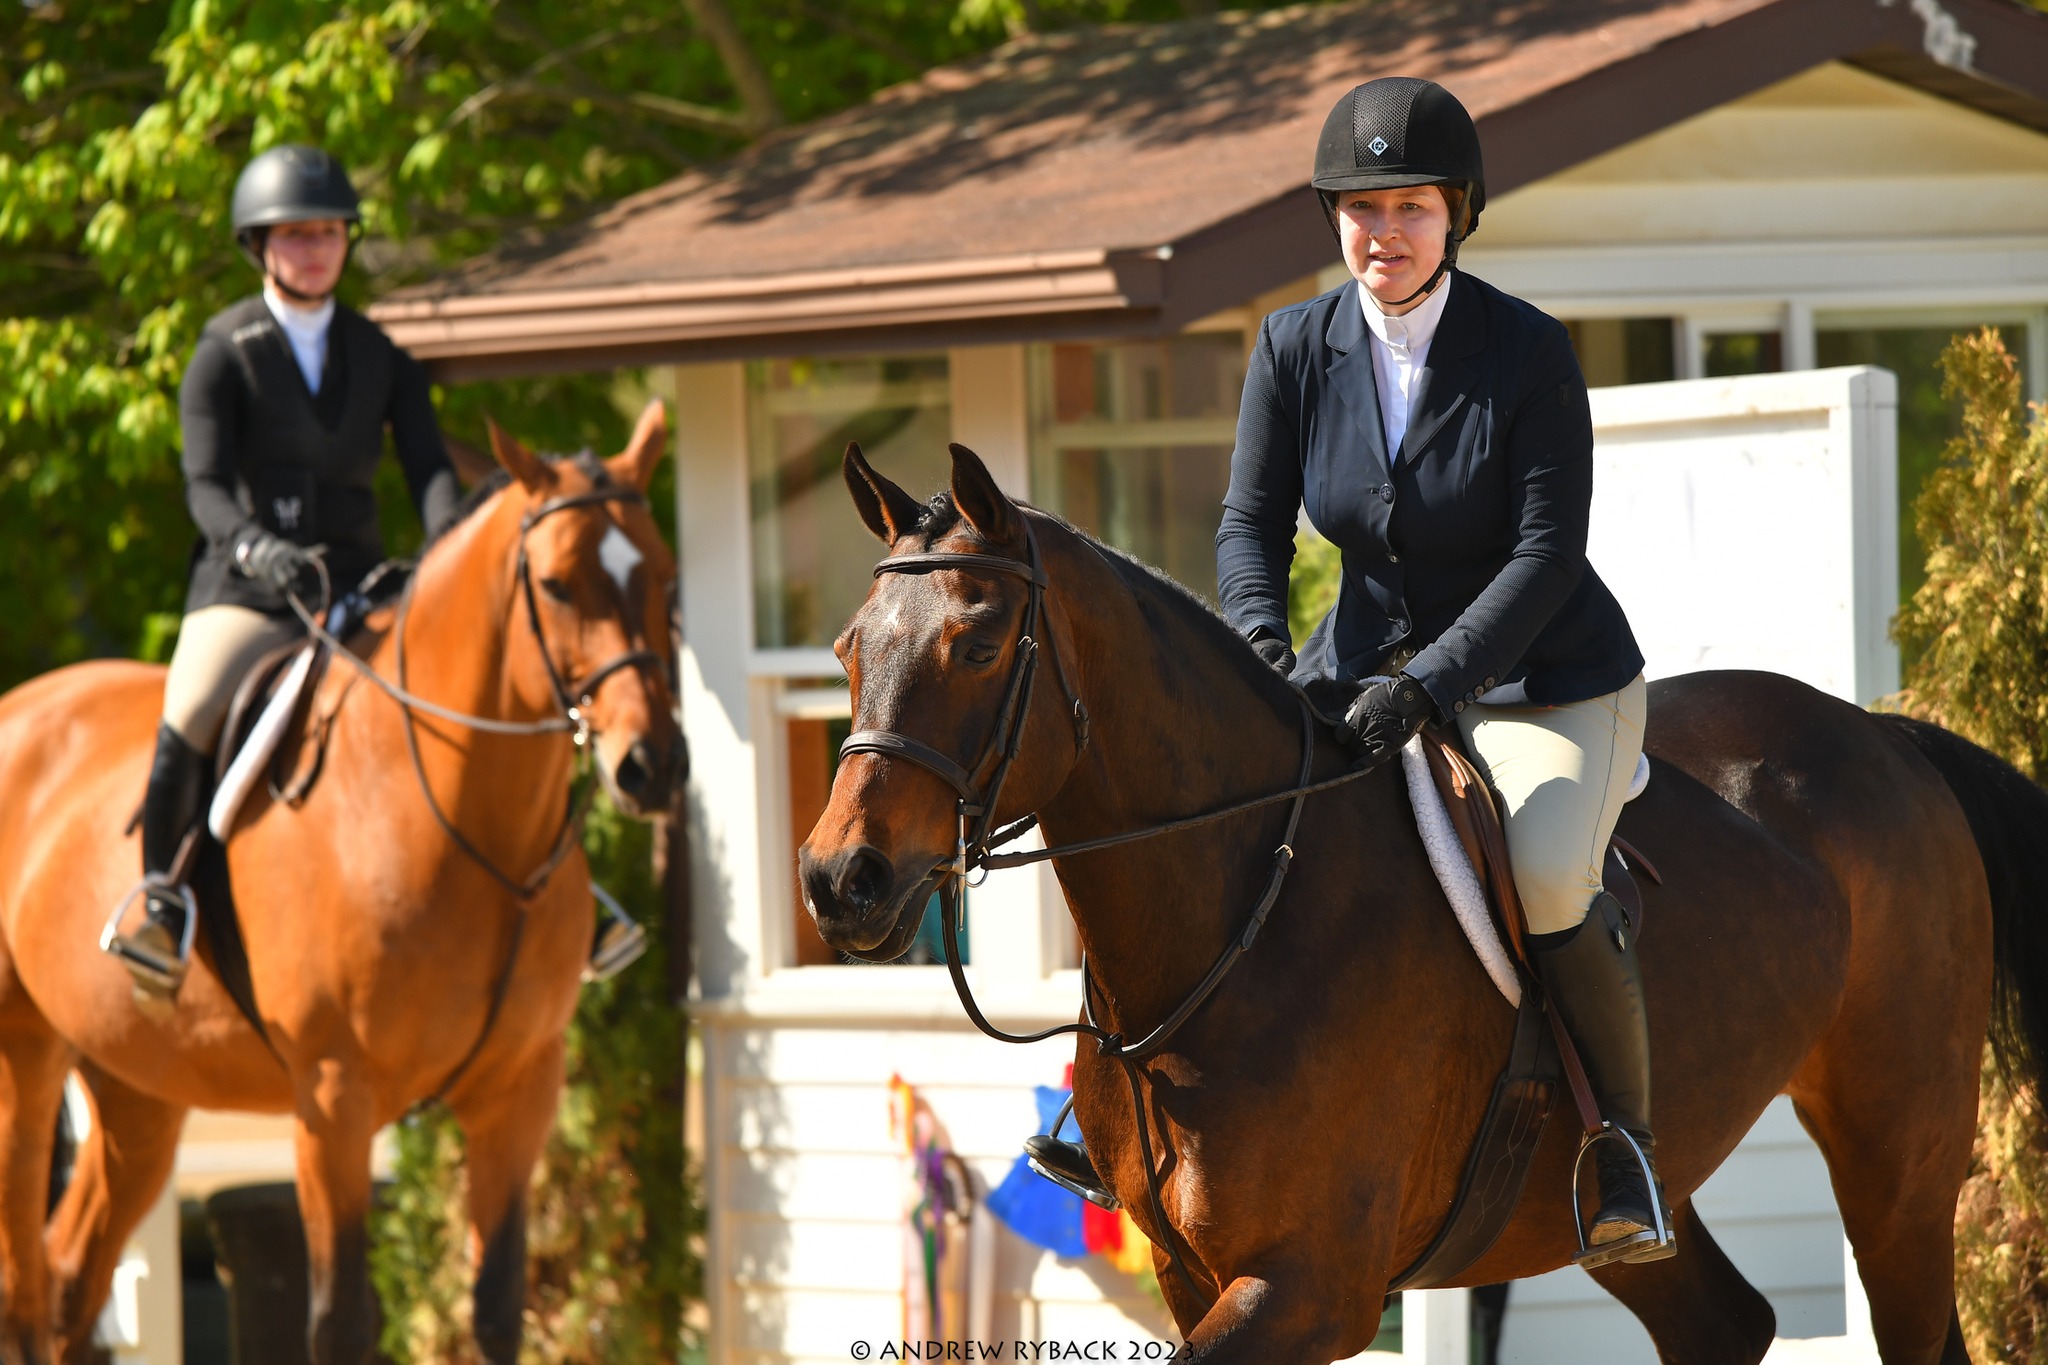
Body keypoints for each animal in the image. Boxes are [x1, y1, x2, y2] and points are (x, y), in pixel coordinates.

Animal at [0, 401, 683, 1365]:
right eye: (553, 584)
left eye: (663, 575)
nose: (653, 768)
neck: (466, 833)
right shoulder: (332, 1098)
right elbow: (340, 1319)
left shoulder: (517, 1093)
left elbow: (497, 1307)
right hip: (24, 1060)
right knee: (23, 1280)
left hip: (139, 1088)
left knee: (70, 1274)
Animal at [799, 440, 2042, 1365]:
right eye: (848, 650)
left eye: (976, 645)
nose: (839, 880)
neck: (1237, 916)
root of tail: (1885, 738)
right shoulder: (1191, 1272)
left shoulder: (1307, 1289)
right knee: (1720, 1322)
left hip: (1896, 1155)